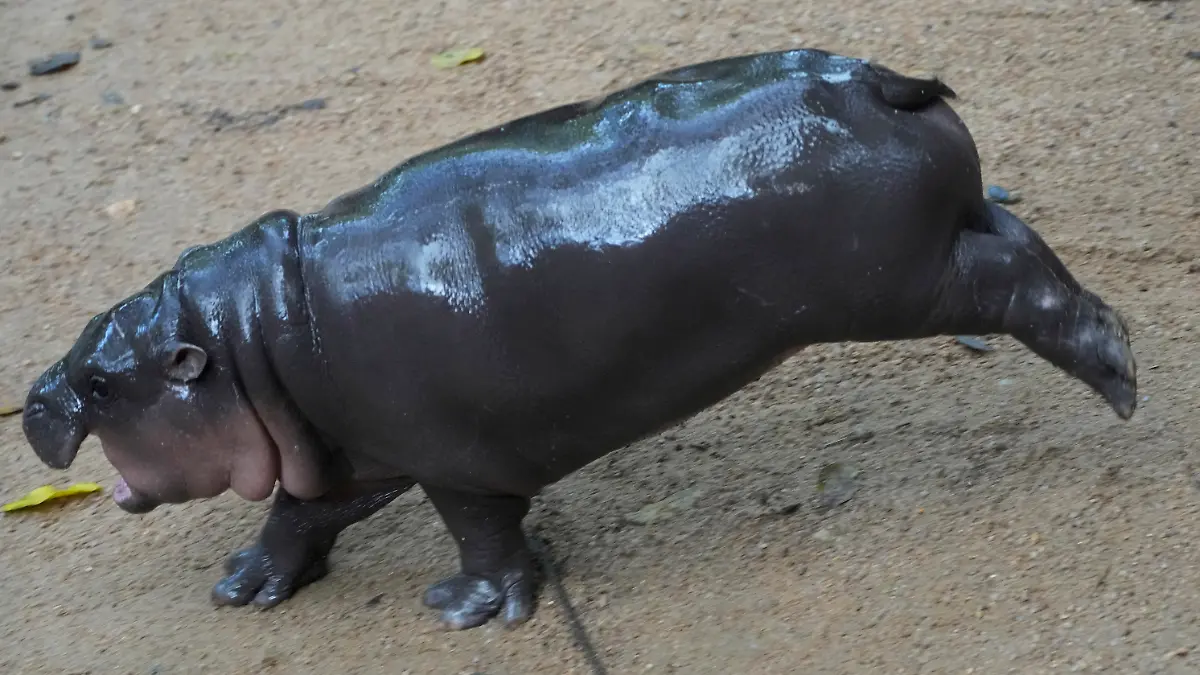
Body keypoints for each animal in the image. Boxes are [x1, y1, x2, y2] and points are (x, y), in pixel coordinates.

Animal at [22, 48, 1137, 631]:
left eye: (102, 381)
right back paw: (1120, 362)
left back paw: (1121, 378)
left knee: (1026, 293)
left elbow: (480, 532)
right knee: (1021, 242)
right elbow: (300, 515)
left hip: (906, 284)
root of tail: (874, 79)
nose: (34, 396)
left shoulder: (450, 460)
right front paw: (242, 587)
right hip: (939, 241)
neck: (252, 331)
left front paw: (466, 609)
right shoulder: (343, 451)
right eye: (85, 354)